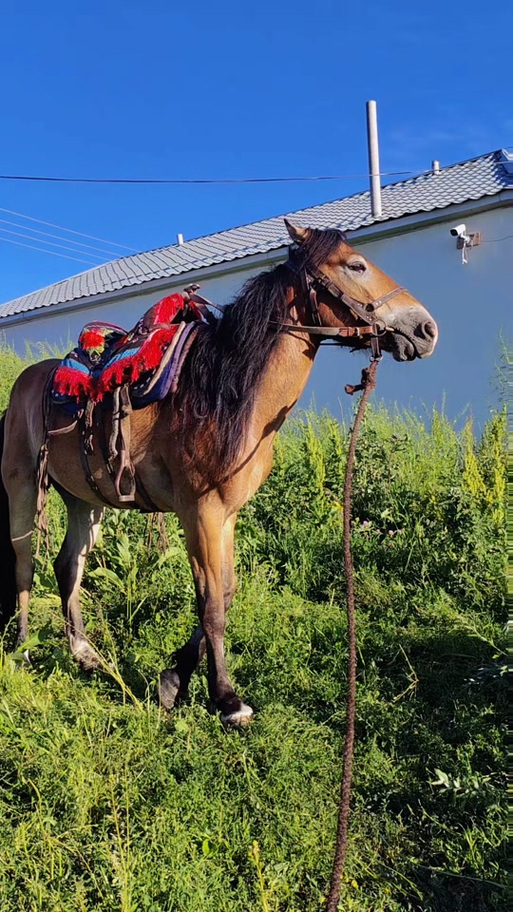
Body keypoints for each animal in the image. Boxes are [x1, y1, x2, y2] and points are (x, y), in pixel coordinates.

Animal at [0, 221, 438, 726]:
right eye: (356, 265)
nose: (426, 329)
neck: (226, 396)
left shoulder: (226, 515)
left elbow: (224, 593)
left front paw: (175, 678)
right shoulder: (200, 512)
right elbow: (210, 605)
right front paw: (225, 698)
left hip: (85, 501)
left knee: (68, 565)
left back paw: (84, 654)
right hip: (24, 489)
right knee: (25, 565)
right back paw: (22, 651)